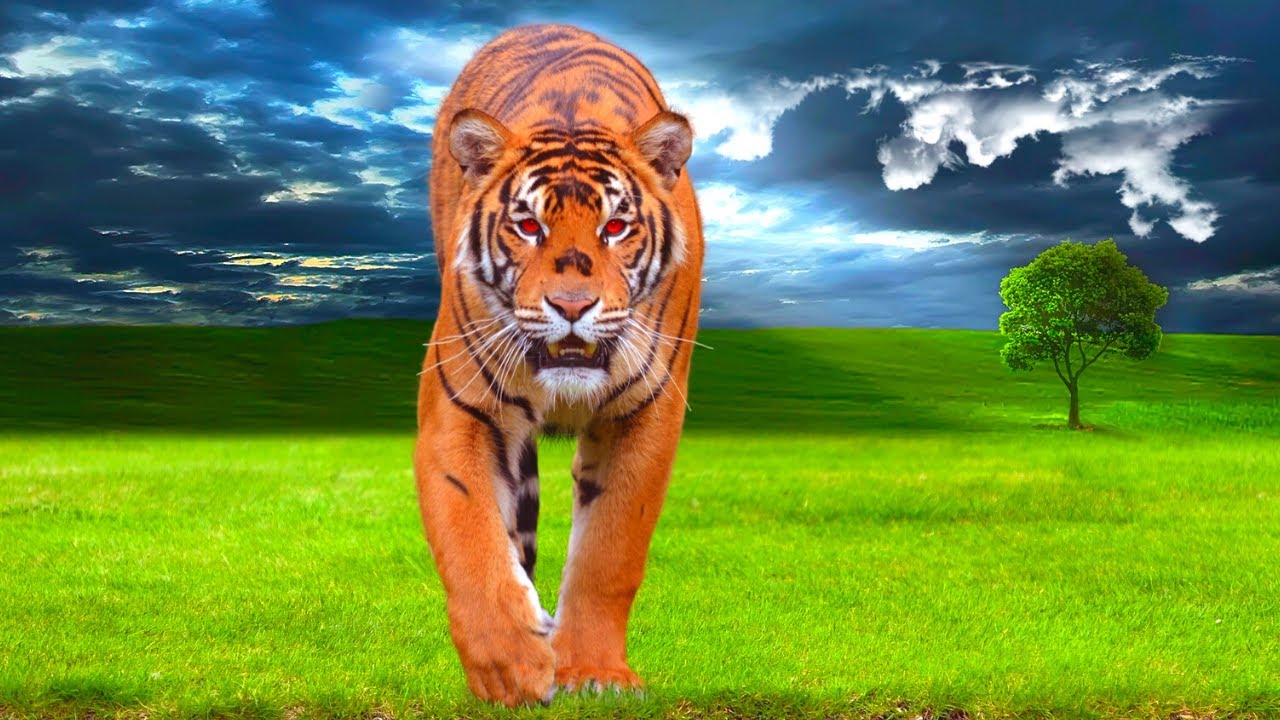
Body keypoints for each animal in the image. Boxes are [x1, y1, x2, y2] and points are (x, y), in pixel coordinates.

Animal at [413, 24, 704, 707]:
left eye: (616, 226)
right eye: (527, 225)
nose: (572, 306)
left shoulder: (646, 415)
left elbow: (609, 553)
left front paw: (595, 671)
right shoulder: (460, 411)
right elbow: (470, 539)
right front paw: (511, 664)